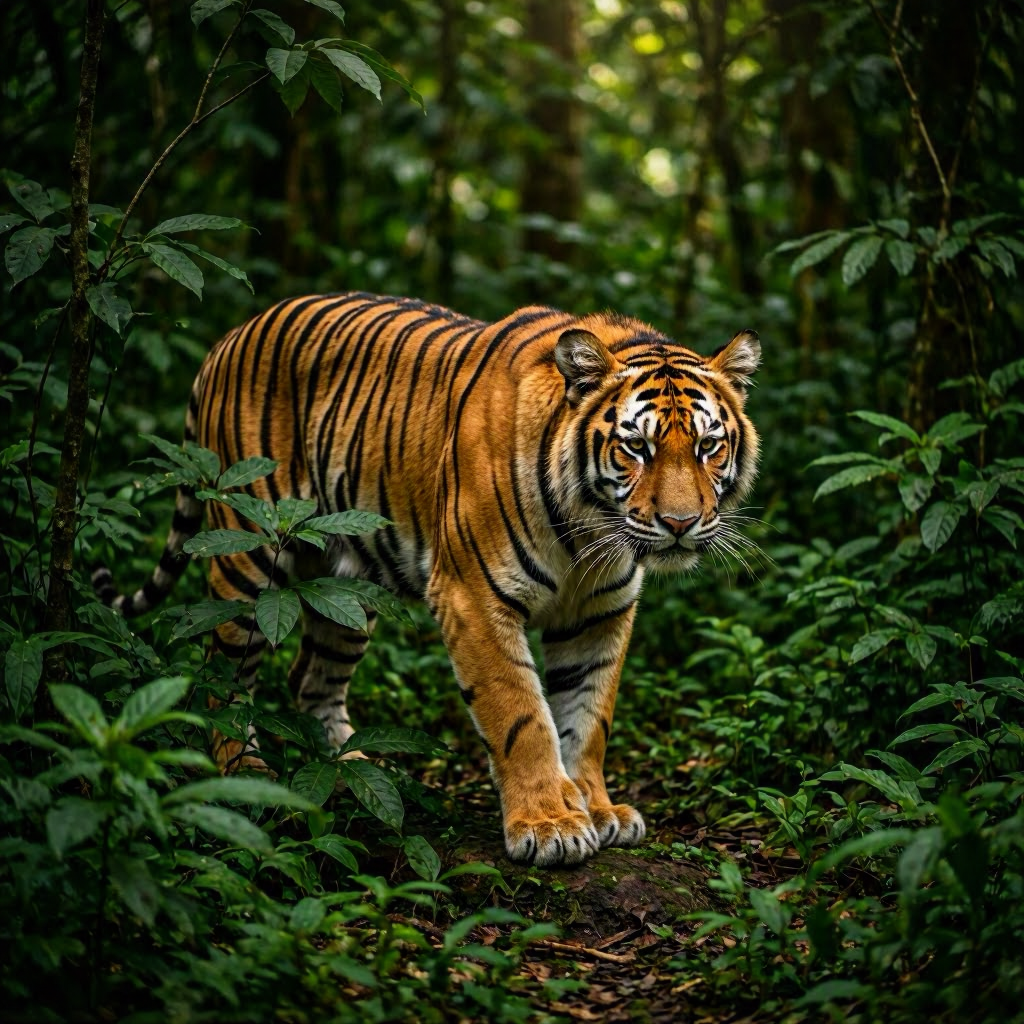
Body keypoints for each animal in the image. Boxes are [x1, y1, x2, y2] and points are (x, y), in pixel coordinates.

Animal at [94, 292, 760, 867]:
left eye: (708, 446)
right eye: (635, 448)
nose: (680, 523)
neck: (588, 530)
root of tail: (231, 335)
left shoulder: (600, 613)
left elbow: (588, 717)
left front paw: (598, 809)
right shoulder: (475, 598)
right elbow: (521, 716)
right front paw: (549, 824)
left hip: (348, 590)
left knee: (311, 678)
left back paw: (361, 773)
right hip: (246, 556)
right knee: (221, 678)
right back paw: (245, 776)